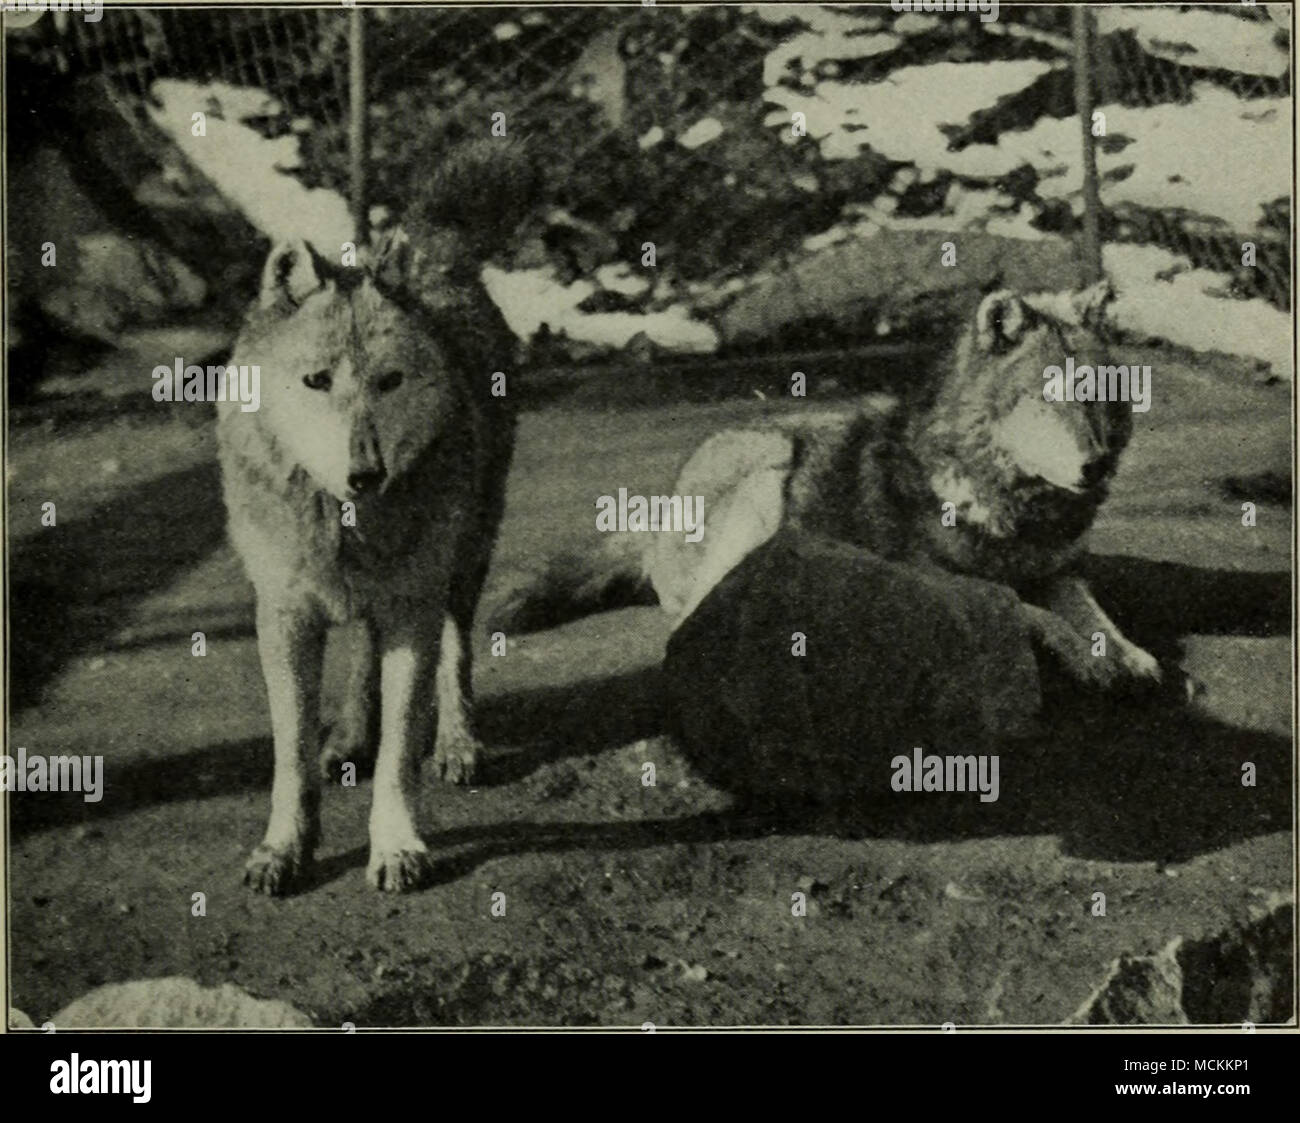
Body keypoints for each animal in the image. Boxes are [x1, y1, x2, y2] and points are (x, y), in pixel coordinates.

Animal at [218, 145, 528, 895]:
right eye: (316, 381)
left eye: (389, 381)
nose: (367, 474)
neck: (344, 522)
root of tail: (430, 249)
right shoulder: (284, 617)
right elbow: (291, 752)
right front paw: (284, 847)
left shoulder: (413, 609)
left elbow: (401, 748)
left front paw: (396, 846)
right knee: (362, 651)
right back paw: (351, 734)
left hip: (464, 556)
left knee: (457, 652)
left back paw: (458, 743)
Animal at [491, 282, 1162, 689]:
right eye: (1049, 397)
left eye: (1098, 395)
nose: (1097, 466)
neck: (1010, 503)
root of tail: (657, 514)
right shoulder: (941, 580)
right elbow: (1028, 610)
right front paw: (1081, 655)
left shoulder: (1060, 568)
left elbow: (1091, 611)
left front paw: (1126, 652)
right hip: (769, 468)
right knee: (698, 607)